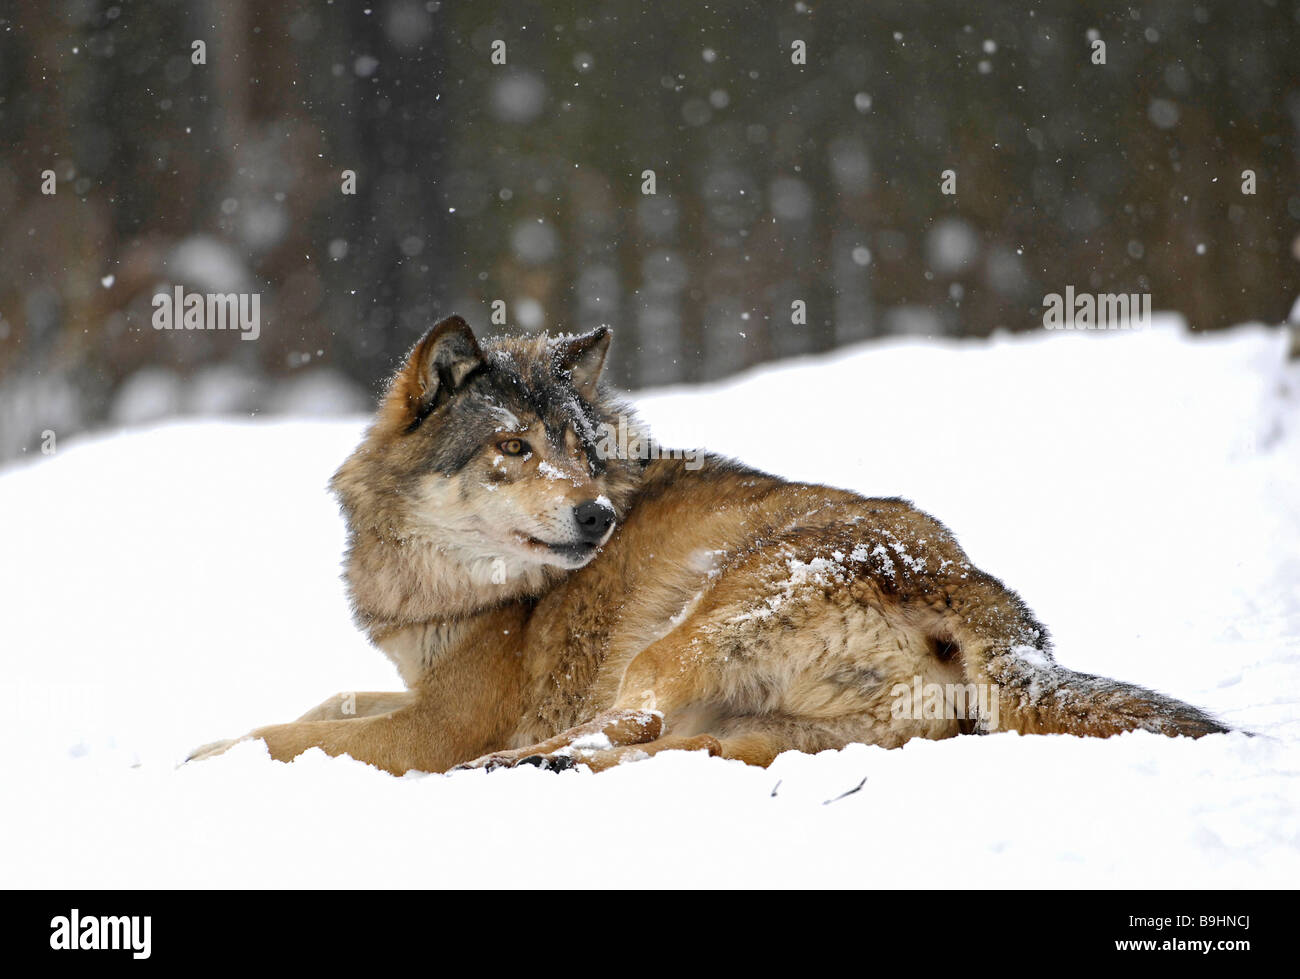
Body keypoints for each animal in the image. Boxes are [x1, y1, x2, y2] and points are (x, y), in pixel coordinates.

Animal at [189, 315, 1227, 774]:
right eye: (514, 448)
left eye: (580, 451)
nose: (597, 517)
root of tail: (982, 597)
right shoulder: (418, 687)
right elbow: (323, 701)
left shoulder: (440, 724)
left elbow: (297, 731)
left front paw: (198, 756)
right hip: (768, 729)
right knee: (672, 747)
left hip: (673, 638)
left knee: (625, 725)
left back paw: (518, 768)